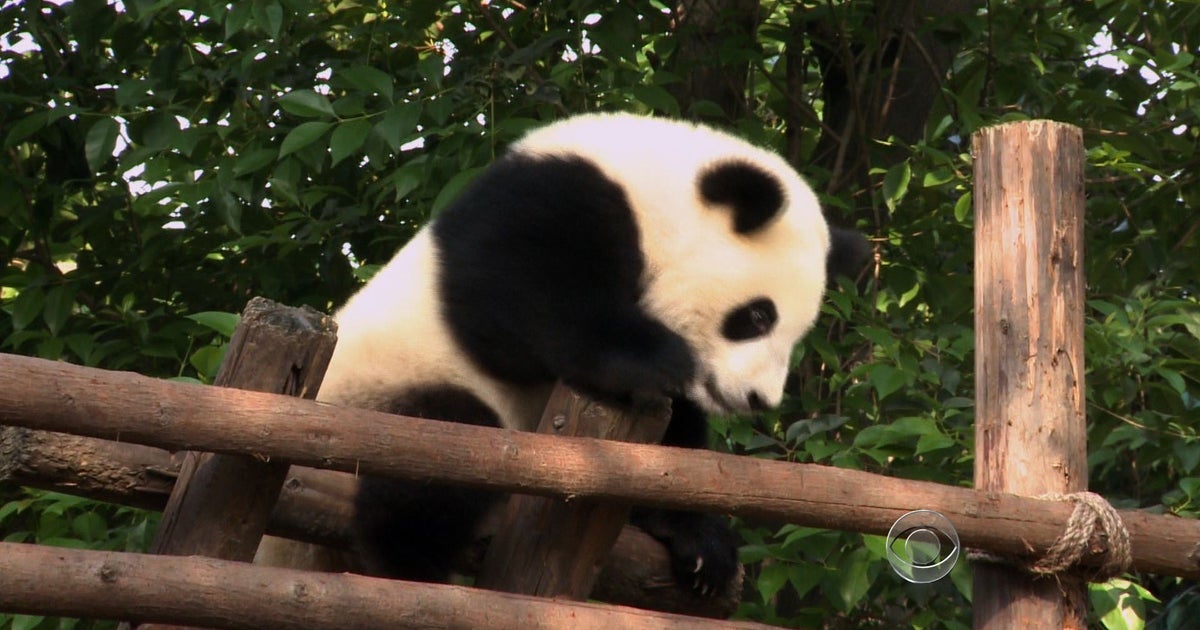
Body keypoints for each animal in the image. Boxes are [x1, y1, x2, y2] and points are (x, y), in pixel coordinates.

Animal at [316, 112, 865, 595]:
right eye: (756, 316)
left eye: (796, 333)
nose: (757, 399)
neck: (650, 195)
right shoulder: (549, 200)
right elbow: (512, 308)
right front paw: (658, 356)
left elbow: (675, 445)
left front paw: (701, 544)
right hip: (380, 394)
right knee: (439, 456)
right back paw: (414, 571)